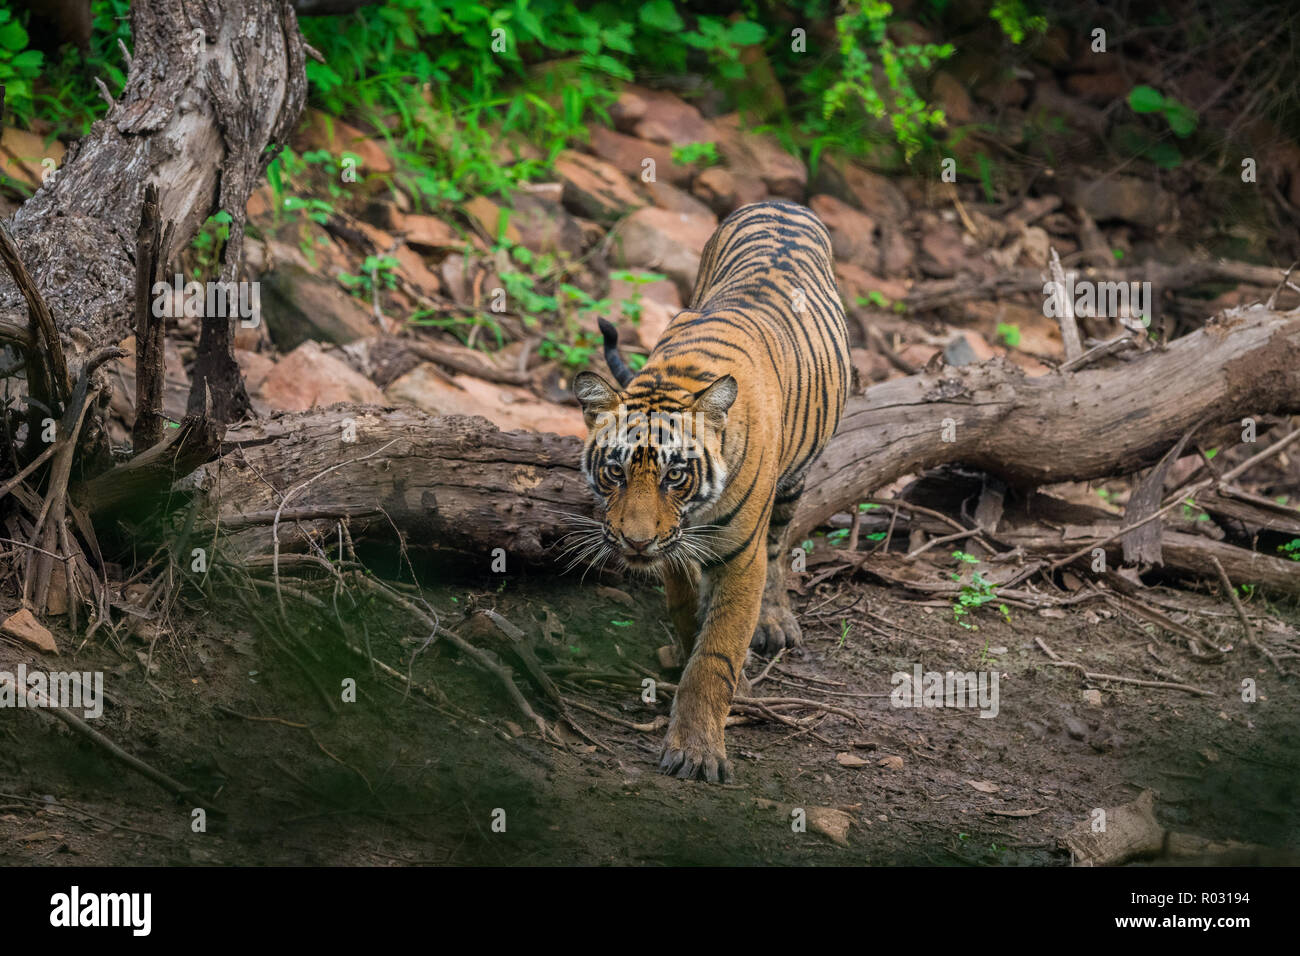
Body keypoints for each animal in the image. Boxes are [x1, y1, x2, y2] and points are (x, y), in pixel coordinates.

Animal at [571, 200, 850, 782]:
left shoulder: (741, 558)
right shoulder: (674, 550)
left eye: (676, 475)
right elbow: (687, 613)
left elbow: (717, 651)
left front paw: (697, 750)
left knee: (781, 544)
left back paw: (775, 621)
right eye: (615, 472)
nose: (634, 543)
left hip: (793, 484)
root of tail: (781, 203)